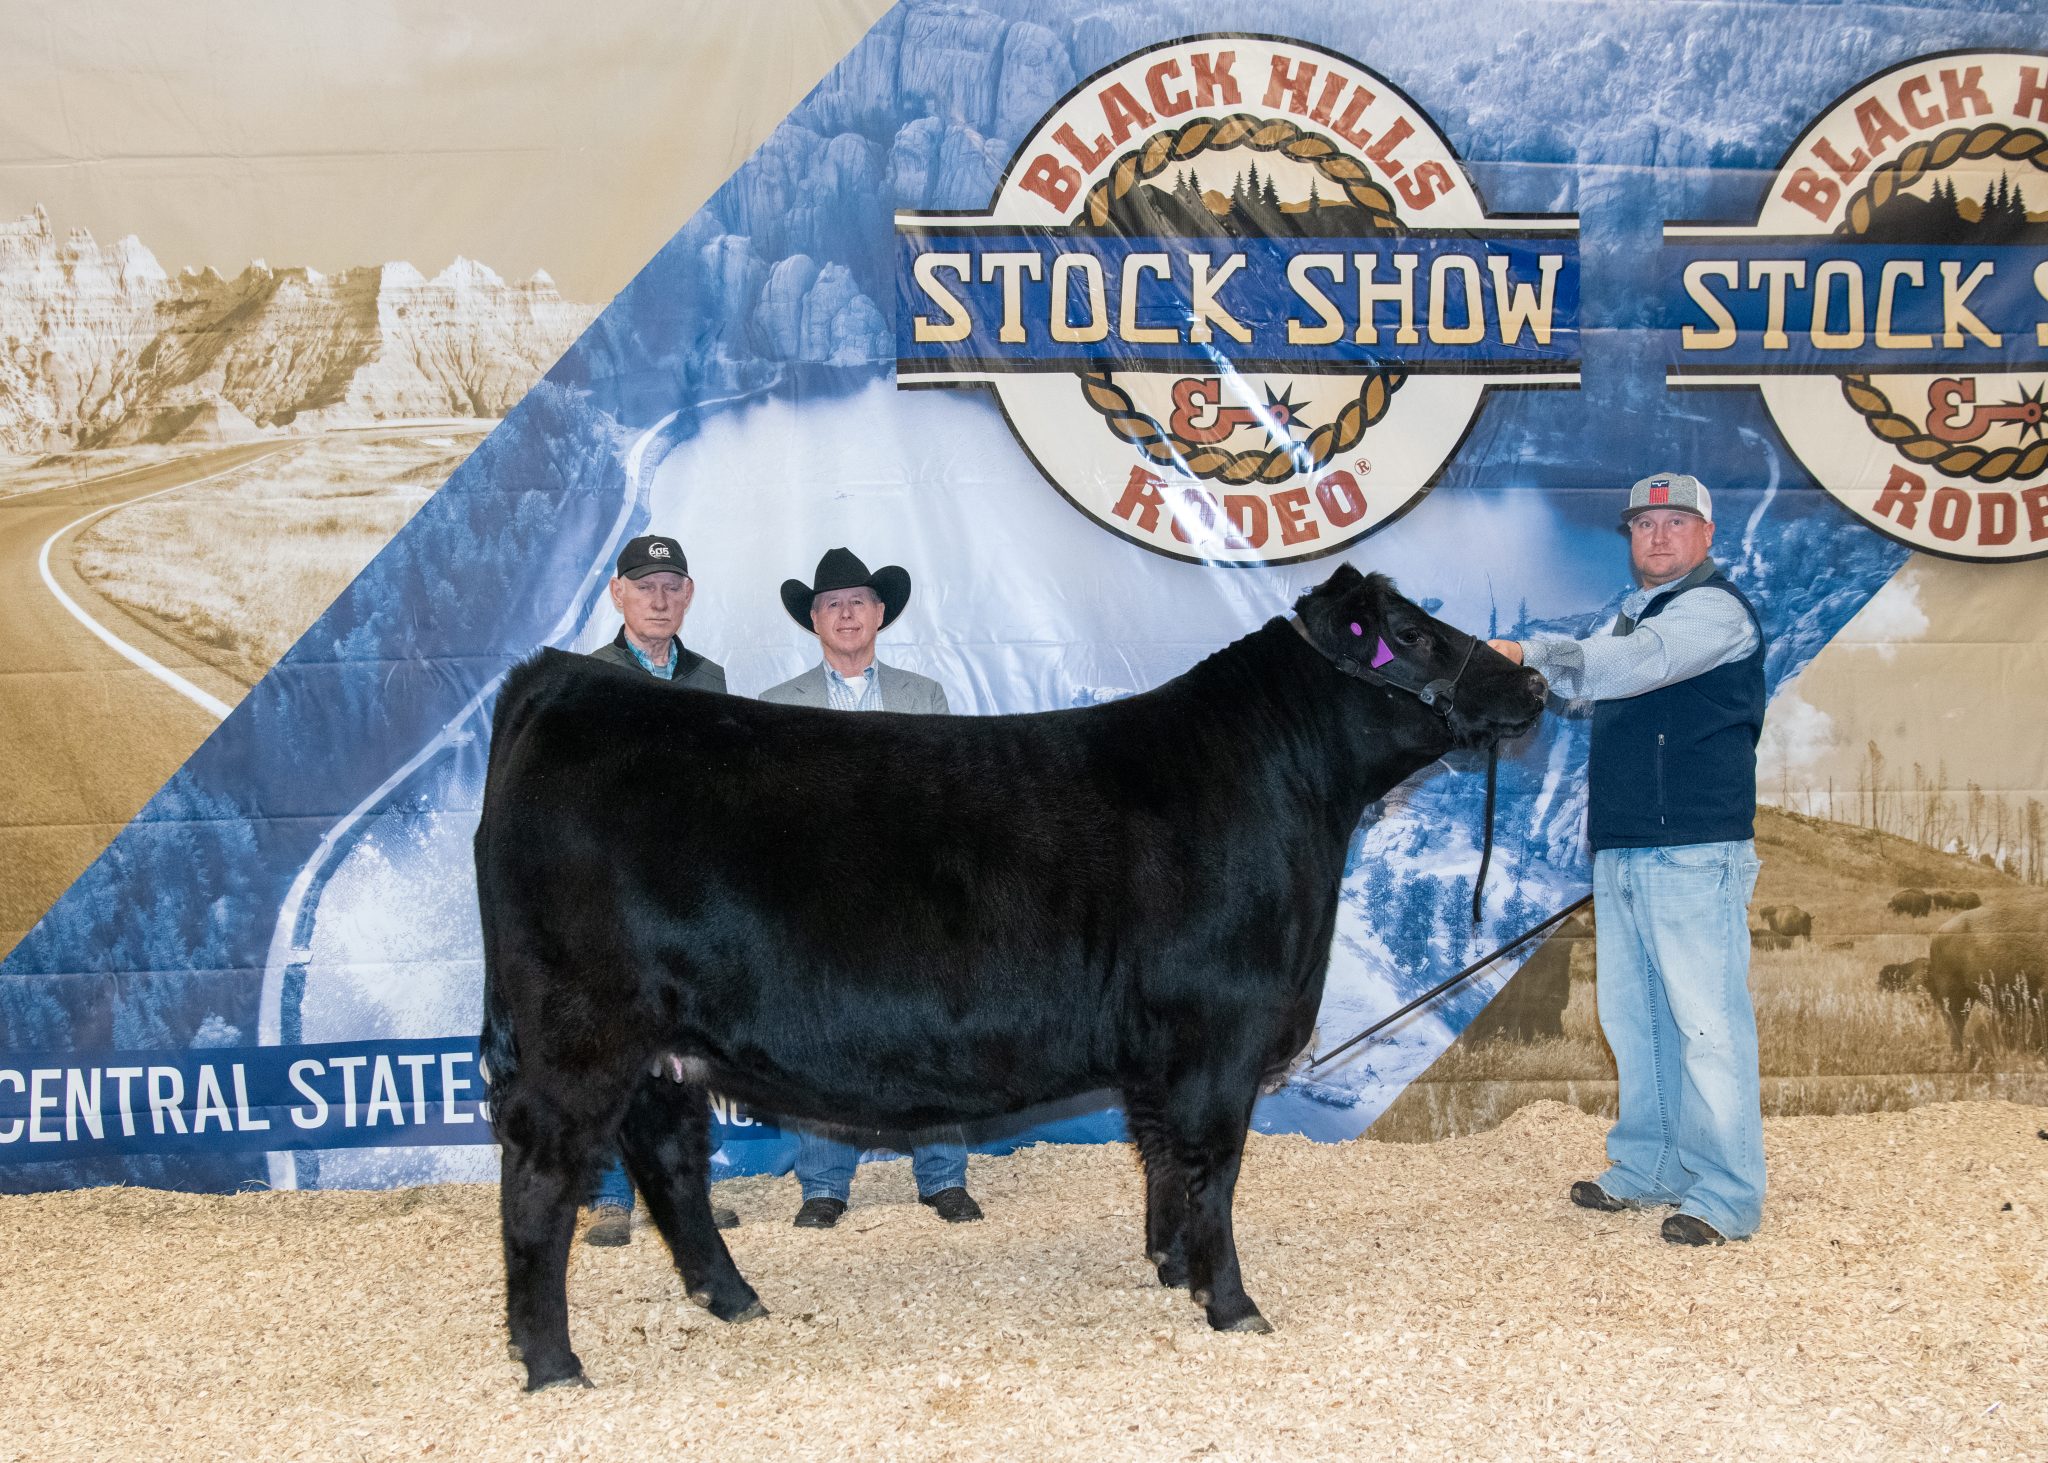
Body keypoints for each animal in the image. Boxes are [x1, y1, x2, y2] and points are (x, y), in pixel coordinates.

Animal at [473, 565, 1547, 1390]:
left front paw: (1170, 1269)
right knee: (541, 1176)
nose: (1530, 682)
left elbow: (1162, 1156)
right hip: (580, 1034)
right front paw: (1234, 1303)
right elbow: (1213, 1165)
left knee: (671, 1163)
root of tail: (562, 682)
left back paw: (734, 1300)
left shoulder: (1162, 1049)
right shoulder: (1221, 1032)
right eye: (1408, 633)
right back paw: (552, 1362)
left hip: (661, 1049)